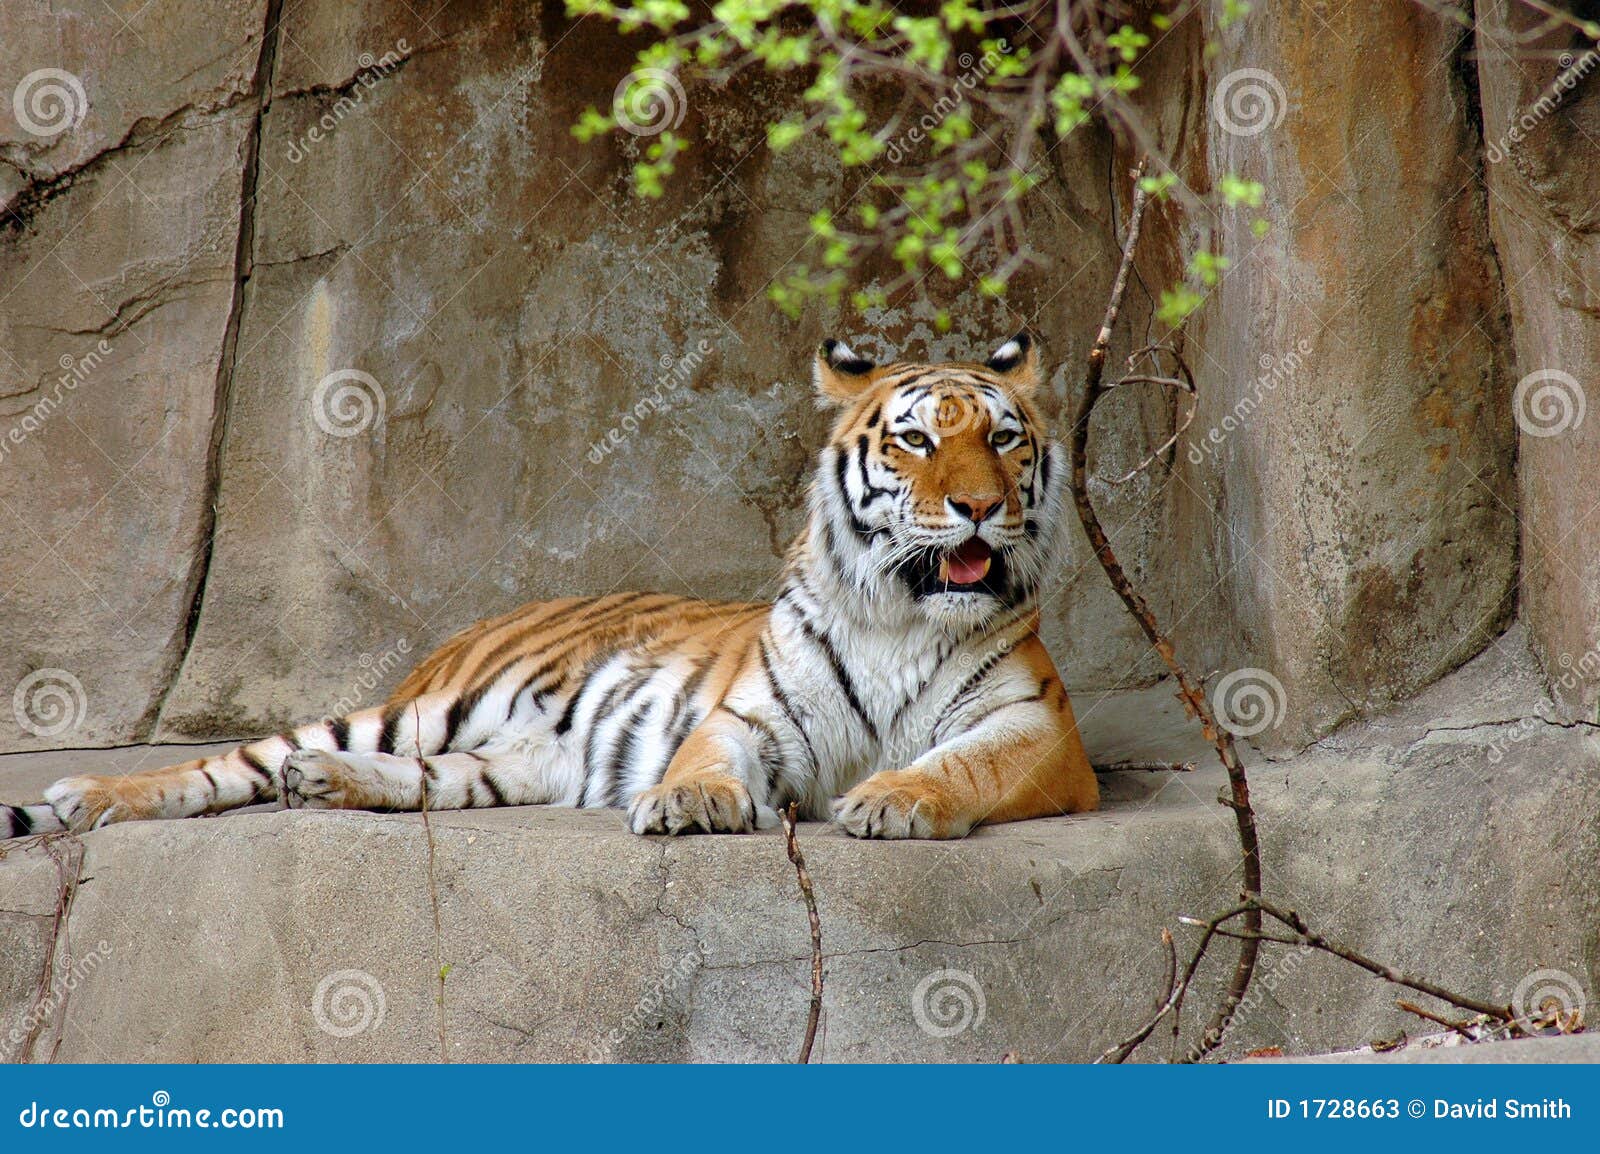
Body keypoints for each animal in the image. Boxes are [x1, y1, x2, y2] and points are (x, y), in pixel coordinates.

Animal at [2, 333, 1098, 841]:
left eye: (1003, 437)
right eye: (915, 440)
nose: (979, 506)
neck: (900, 614)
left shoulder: (1036, 729)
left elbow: (963, 765)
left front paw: (893, 799)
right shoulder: (748, 716)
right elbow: (705, 755)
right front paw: (685, 801)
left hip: (511, 758)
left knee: (419, 778)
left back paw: (325, 785)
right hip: (417, 710)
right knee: (223, 763)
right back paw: (89, 796)